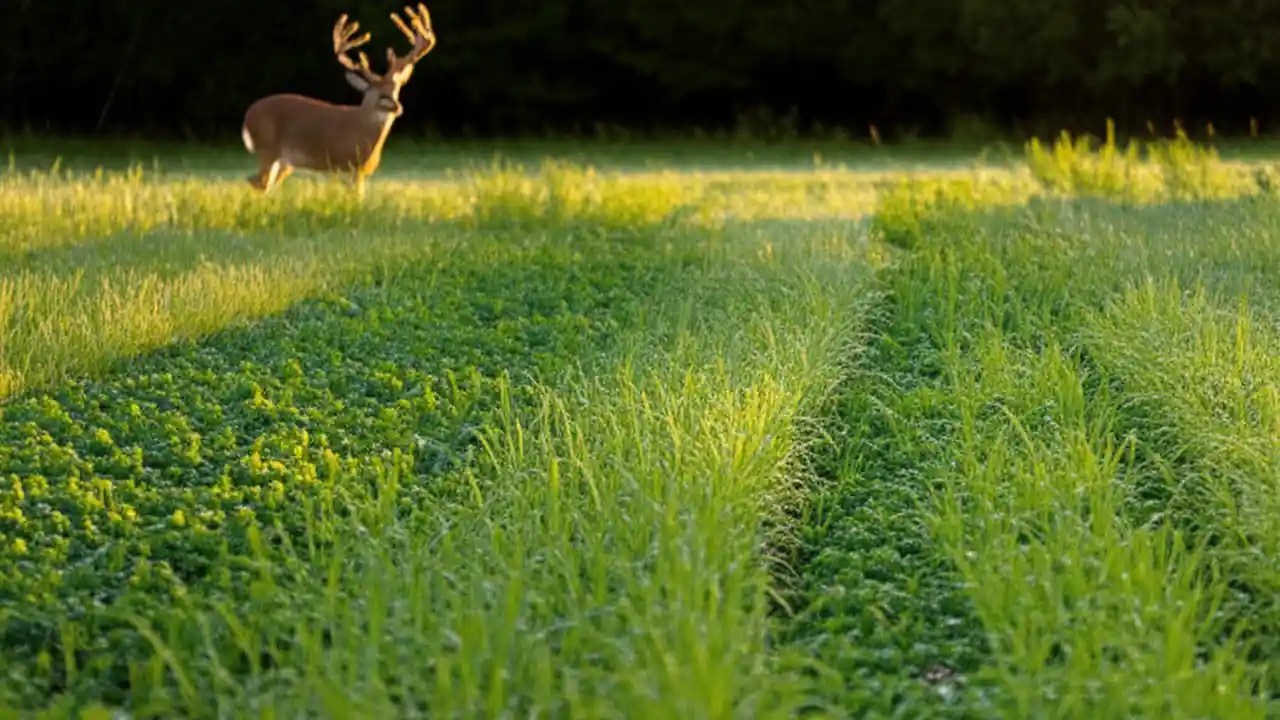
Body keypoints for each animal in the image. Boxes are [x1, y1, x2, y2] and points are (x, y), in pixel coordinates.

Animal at [240, 4, 436, 197]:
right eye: (380, 94)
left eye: (396, 91)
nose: (397, 107)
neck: (363, 131)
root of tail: (248, 116)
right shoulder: (342, 165)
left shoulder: (359, 171)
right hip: (267, 148)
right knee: (258, 182)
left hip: (284, 162)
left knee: (261, 183)